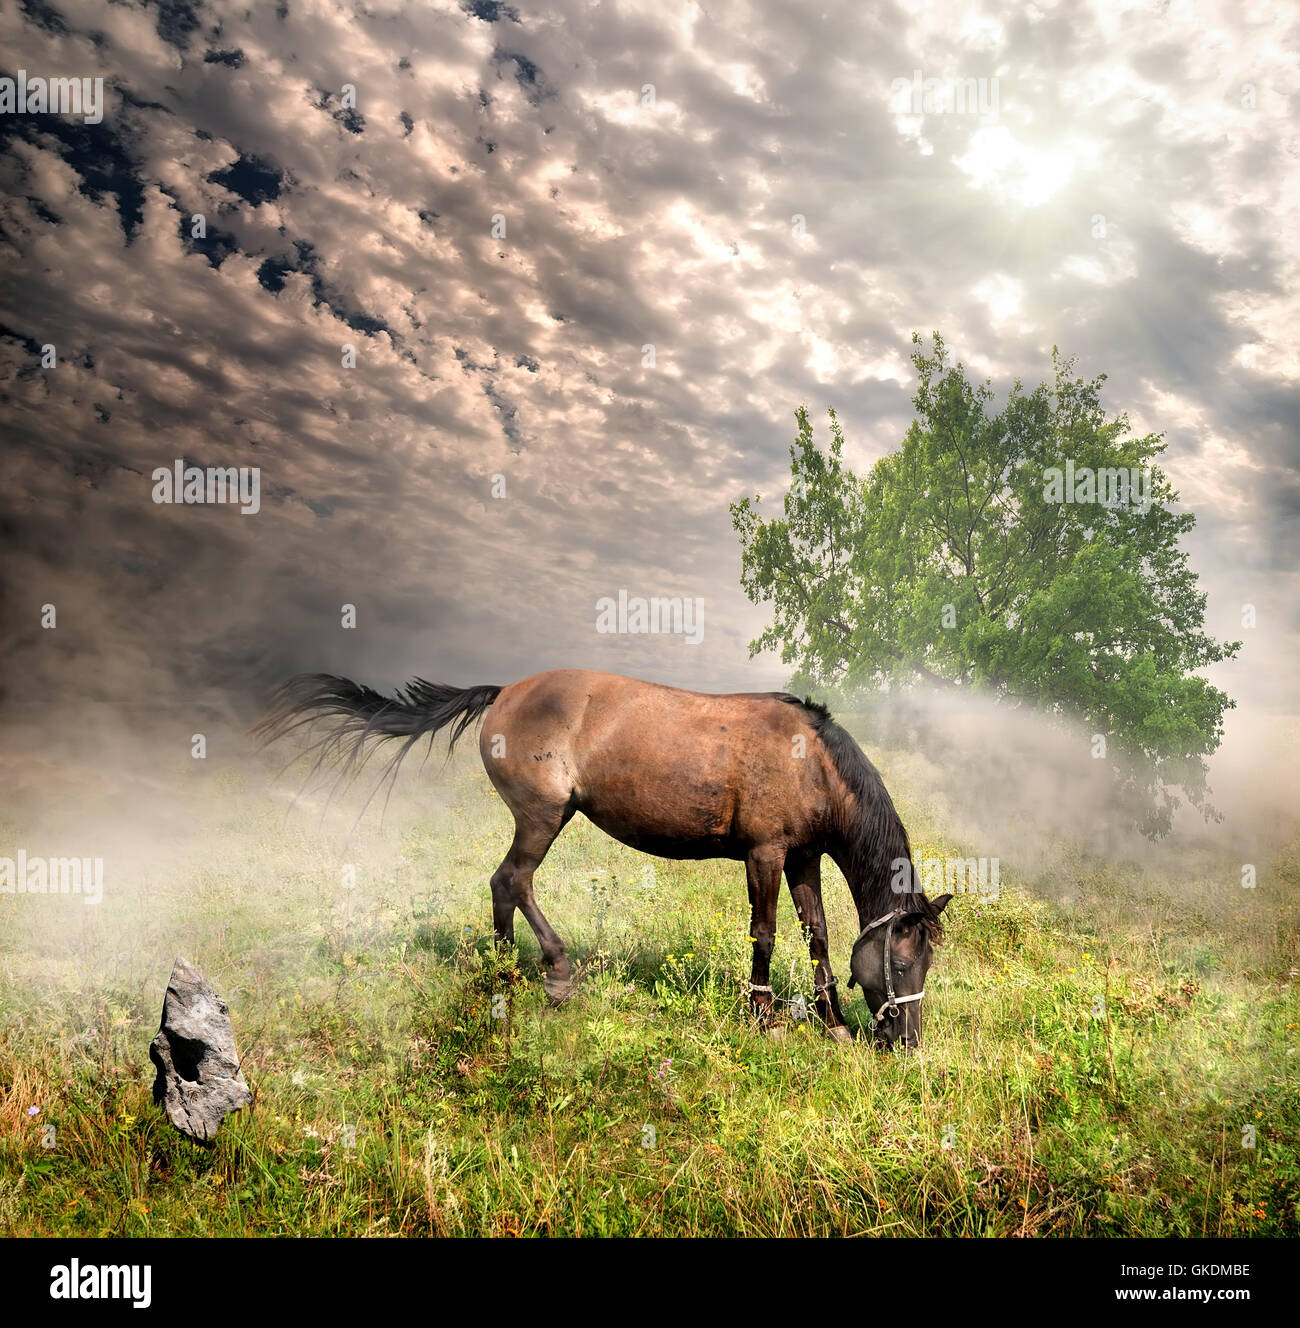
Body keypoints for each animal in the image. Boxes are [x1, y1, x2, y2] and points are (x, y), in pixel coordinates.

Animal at [257, 668, 952, 1047]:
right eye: (902, 961)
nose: (907, 1043)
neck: (812, 760)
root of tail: (505, 691)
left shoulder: (803, 857)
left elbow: (819, 936)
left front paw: (831, 1021)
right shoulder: (765, 855)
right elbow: (765, 930)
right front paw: (764, 1015)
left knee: (505, 885)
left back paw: (509, 972)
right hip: (541, 817)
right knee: (511, 881)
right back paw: (549, 971)